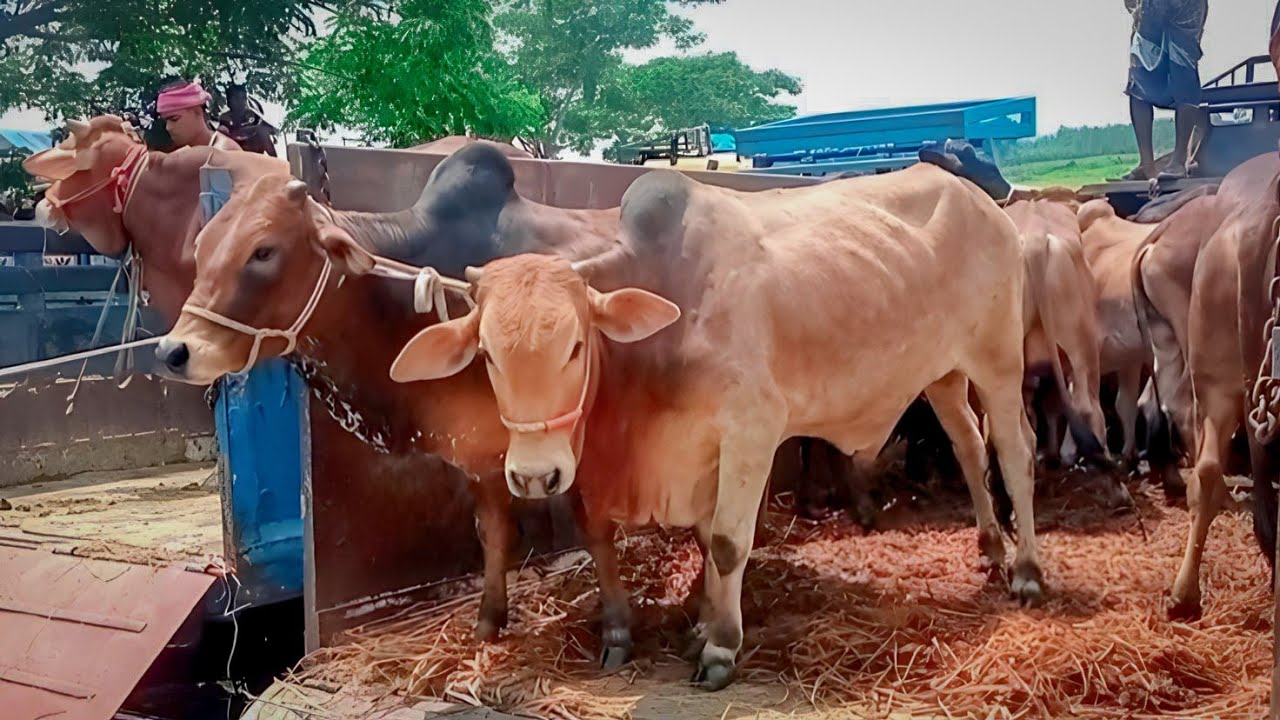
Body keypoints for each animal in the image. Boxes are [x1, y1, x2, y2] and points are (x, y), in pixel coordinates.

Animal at [389, 163, 1042, 689]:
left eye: (575, 345)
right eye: (487, 354)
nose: (533, 475)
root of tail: (987, 205)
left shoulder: (751, 429)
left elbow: (727, 544)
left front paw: (721, 649)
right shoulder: (697, 452)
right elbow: (701, 541)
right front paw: (700, 629)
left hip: (998, 361)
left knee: (1015, 450)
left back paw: (1028, 573)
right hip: (944, 373)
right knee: (968, 444)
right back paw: (990, 548)